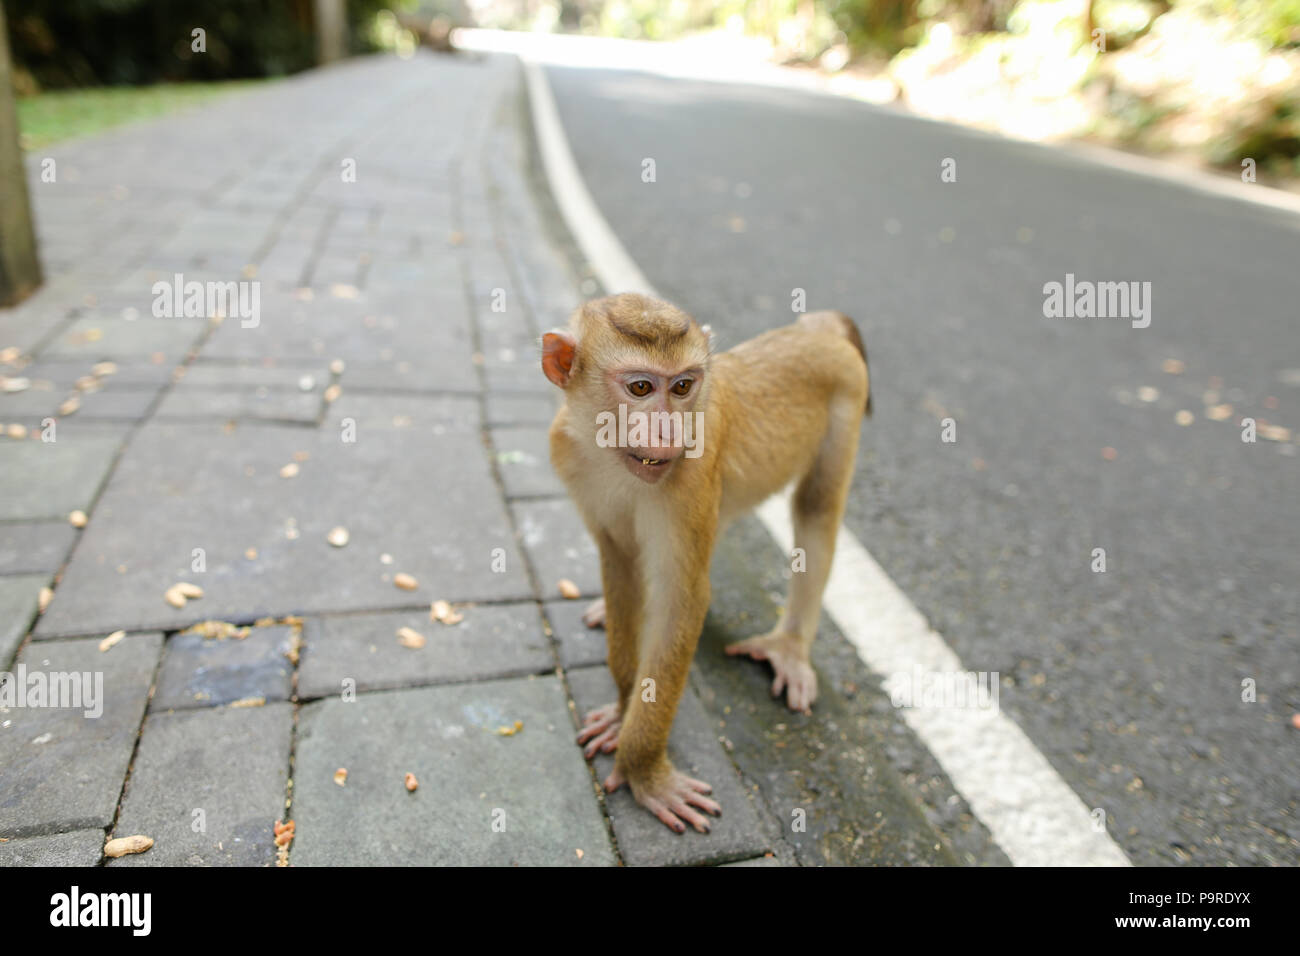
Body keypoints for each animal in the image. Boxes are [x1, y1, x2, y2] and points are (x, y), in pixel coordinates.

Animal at [541, 292, 870, 834]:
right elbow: (622, 567)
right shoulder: (569, 457)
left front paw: (644, 769)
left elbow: (683, 600)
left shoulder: (691, 475)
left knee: (818, 508)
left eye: (682, 386)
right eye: (640, 387)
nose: (669, 429)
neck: (608, 453)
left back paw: (788, 646)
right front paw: (624, 707)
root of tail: (814, 332)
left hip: (848, 399)